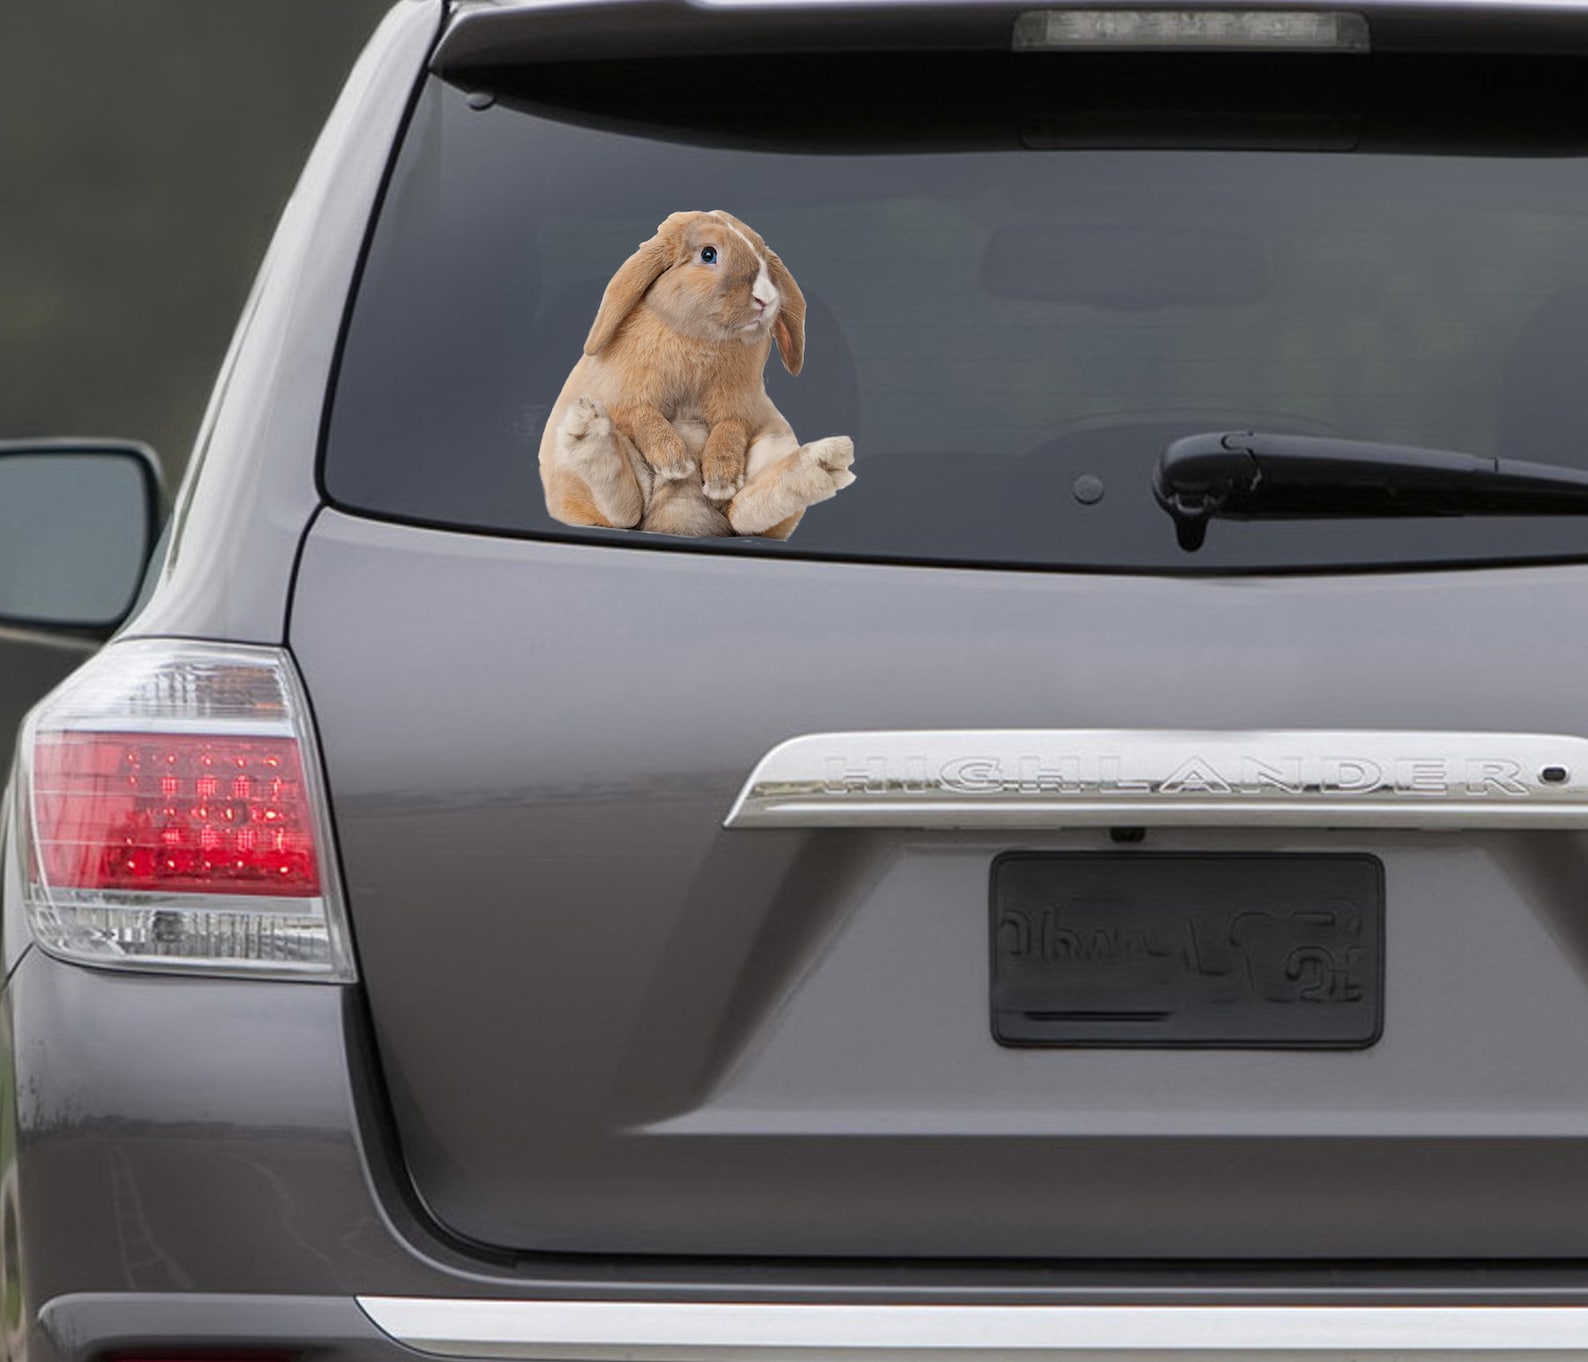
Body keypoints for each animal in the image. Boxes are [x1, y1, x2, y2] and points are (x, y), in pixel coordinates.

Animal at [539, 210, 855, 539]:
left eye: (762, 256)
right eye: (708, 254)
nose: (766, 298)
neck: (700, 341)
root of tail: (677, 525)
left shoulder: (742, 408)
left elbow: (730, 429)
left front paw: (720, 479)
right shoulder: (624, 396)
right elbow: (644, 416)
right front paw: (676, 462)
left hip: (775, 441)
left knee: (746, 513)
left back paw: (823, 462)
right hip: (567, 470)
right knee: (623, 509)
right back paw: (588, 431)